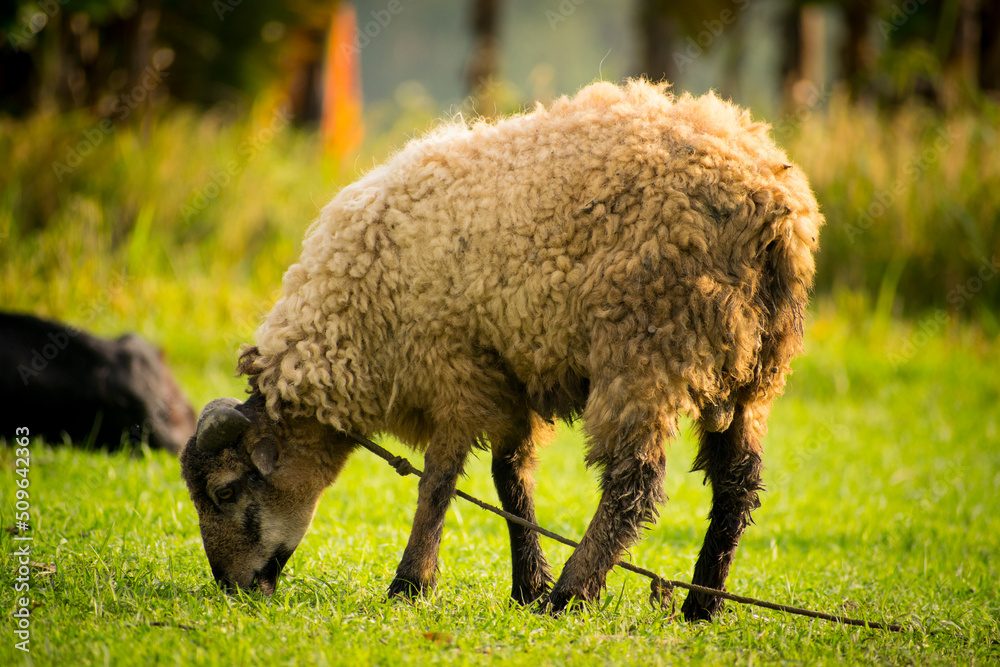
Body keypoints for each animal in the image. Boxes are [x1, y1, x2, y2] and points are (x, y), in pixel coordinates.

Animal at [180, 79, 823, 619]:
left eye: (224, 490)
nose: (234, 587)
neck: (357, 326)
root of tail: (773, 204)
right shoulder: (507, 370)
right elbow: (509, 477)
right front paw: (525, 583)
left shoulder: (454, 367)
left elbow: (438, 480)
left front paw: (411, 584)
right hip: (753, 371)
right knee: (737, 485)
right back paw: (700, 604)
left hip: (648, 346)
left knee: (633, 484)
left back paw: (572, 595)